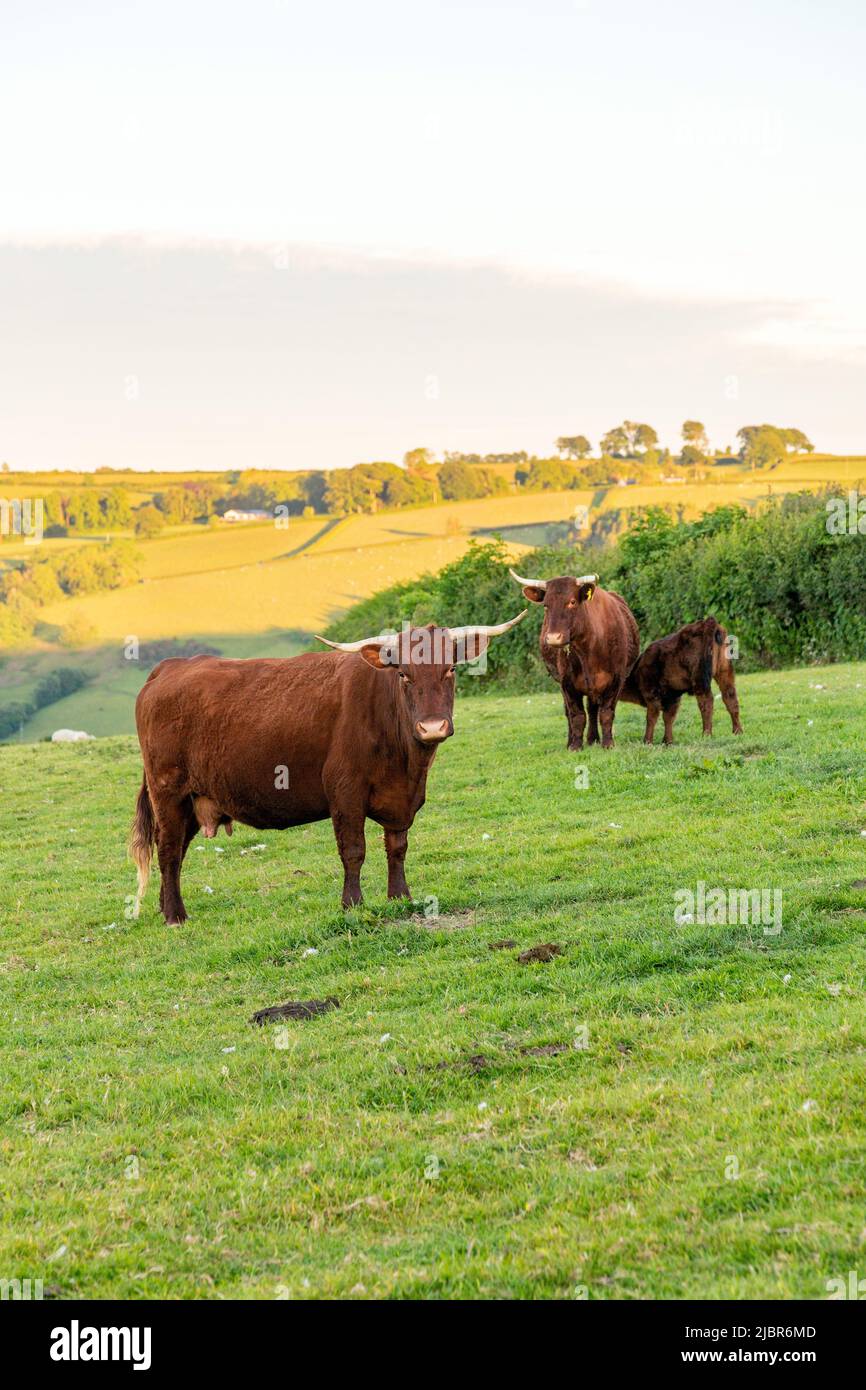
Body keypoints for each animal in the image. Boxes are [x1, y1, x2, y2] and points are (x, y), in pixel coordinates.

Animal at [130, 613, 526, 925]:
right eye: (403, 674)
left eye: (451, 668)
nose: (432, 727)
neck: (407, 764)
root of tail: (169, 667)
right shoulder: (346, 793)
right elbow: (353, 850)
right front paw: (352, 904)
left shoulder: (402, 800)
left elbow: (397, 847)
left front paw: (401, 897)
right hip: (168, 791)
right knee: (168, 850)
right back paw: (175, 915)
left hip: (192, 801)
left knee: (175, 852)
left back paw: (166, 907)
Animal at [510, 568, 639, 749]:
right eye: (546, 605)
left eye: (572, 602)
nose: (553, 638)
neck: (589, 649)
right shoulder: (567, 682)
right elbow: (577, 715)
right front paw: (575, 745)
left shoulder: (617, 679)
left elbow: (606, 713)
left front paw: (608, 743)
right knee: (572, 712)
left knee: (593, 709)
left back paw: (593, 738)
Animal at [620, 616, 743, 744]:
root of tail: (708, 622)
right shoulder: (673, 697)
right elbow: (668, 718)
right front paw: (668, 741)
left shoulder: (652, 694)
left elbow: (652, 717)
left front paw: (647, 741)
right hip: (725, 672)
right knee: (730, 697)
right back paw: (738, 731)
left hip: (700, 679)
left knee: (707, 702)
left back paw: (706, 734)